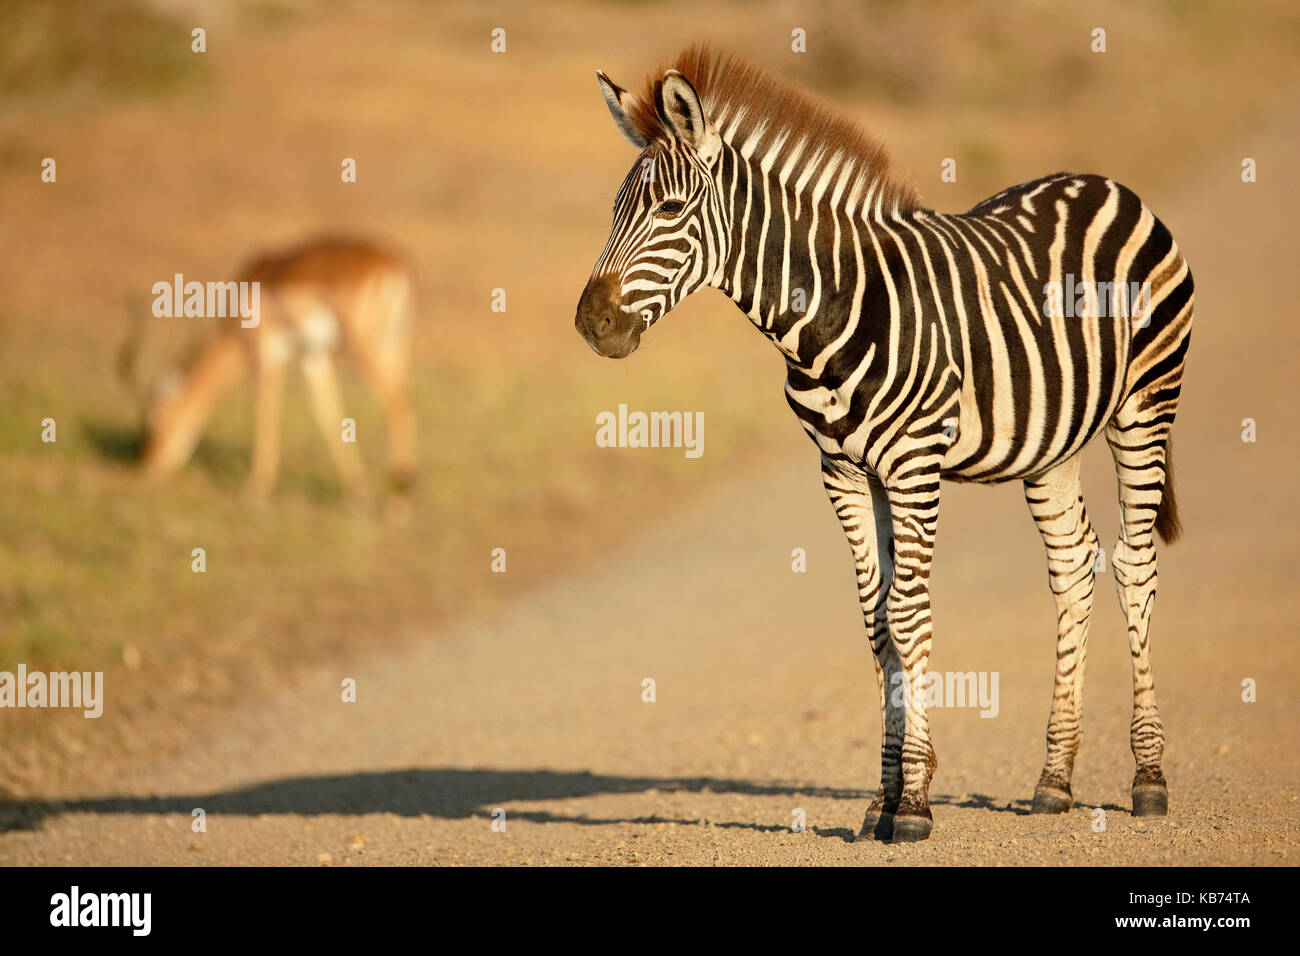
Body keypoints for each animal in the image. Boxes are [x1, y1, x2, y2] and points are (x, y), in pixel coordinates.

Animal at [124, 237, 417, 499]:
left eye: (158, 422)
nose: (148, 465)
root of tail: (395, 266)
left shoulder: (269, 352)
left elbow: (266, 410)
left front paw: (257, 488)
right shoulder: (312, 354)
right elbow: (327, 411)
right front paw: (358, 488)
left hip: (365, 346)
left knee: (397, 403)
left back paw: (400, 498)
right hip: (393, 344)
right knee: (402, 397)